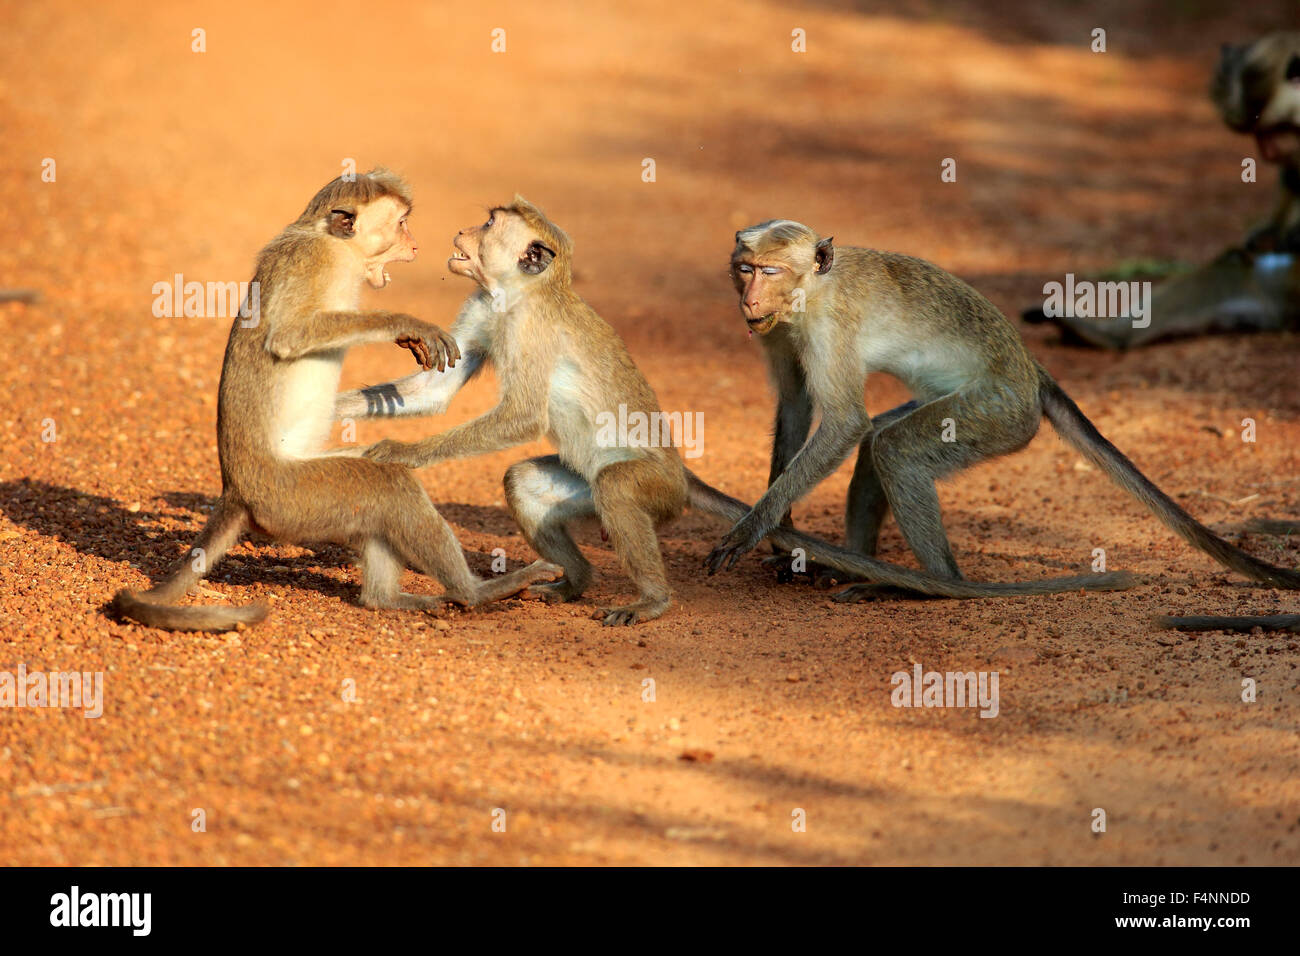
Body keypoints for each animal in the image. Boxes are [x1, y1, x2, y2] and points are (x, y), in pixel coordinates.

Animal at [110, 170, 559, 632]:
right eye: (401, 224)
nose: (415, 245)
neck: (332, 243)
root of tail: (236, 491)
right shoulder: (311, 263)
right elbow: (288, 336)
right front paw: (403, 324)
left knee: (383, 479)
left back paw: (386, 599)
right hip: (291, 499)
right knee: (389, 486)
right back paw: (477, 593)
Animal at [338, 198, 1135, 626]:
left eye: (487, 224)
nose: (460, 238)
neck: (519, 295)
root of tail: (680, 477)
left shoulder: (528, 327)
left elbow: (521, 414)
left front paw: (401, 454)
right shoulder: (483, 305)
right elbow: (437, 394)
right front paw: (342, 404)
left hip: (654, 491)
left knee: (619, 489)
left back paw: (652, 600)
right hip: (582, 486)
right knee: (533, 483)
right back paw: (576, 579)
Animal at [706, 220, 1300, 602]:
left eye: (771, 271)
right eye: (745, 268)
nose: (749, 299)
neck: (811, 292)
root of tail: (1031, 371)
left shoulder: (828, 328)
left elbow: (845, 422)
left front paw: (751, 526)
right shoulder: (778, 331)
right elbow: (797, 404)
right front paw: (783, 529)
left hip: (998, 415)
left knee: (893, 446)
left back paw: (930, 587)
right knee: (881, 441)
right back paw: (860, 566)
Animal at [1024, 32, 1300, 348]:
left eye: (1275, 129)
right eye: (1259, 133)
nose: (1267, 151)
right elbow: (1288, 180)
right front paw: (1267, 232)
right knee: (1232, 270)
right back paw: (1102, 335)